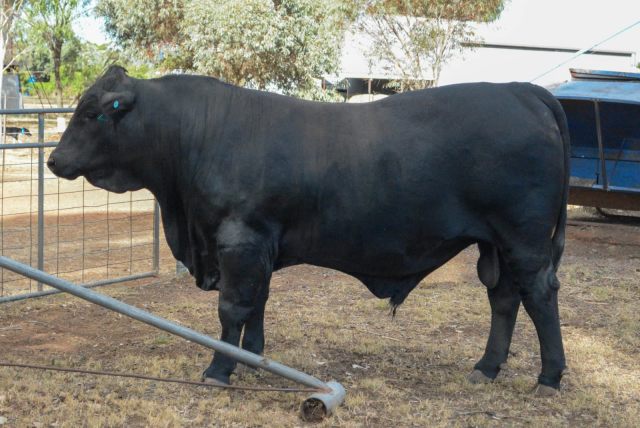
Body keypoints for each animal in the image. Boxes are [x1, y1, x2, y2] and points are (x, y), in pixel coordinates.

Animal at [47, 66, 569, 395]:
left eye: (92, 113)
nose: (53, 160)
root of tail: (521, 90)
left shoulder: (240, 241)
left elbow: (232, 308)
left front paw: (219, 369)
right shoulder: (259, 249)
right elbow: (257, 303)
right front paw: (253, 361)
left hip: (524, 239)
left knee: (539, 294)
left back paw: (549, 378)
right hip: (494, 242)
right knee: (503, 298)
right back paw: (486, 368)